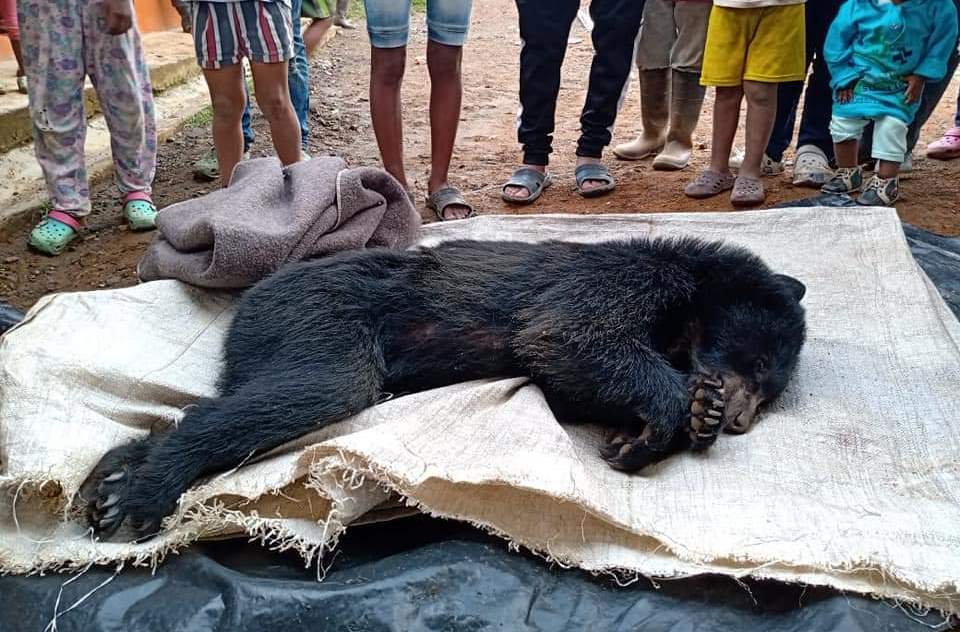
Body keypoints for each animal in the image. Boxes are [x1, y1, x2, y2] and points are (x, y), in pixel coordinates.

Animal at [79, 236, 807, 541]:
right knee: (321, 386)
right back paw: (145, 491)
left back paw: (113, 477)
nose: (742, 415)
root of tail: (247, 303)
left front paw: (665, 423)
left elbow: (567, 380)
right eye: (760, 363)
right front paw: (684, 409)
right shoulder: (624, 277)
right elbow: (566, 337)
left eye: (770, 387)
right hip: (318, 317)